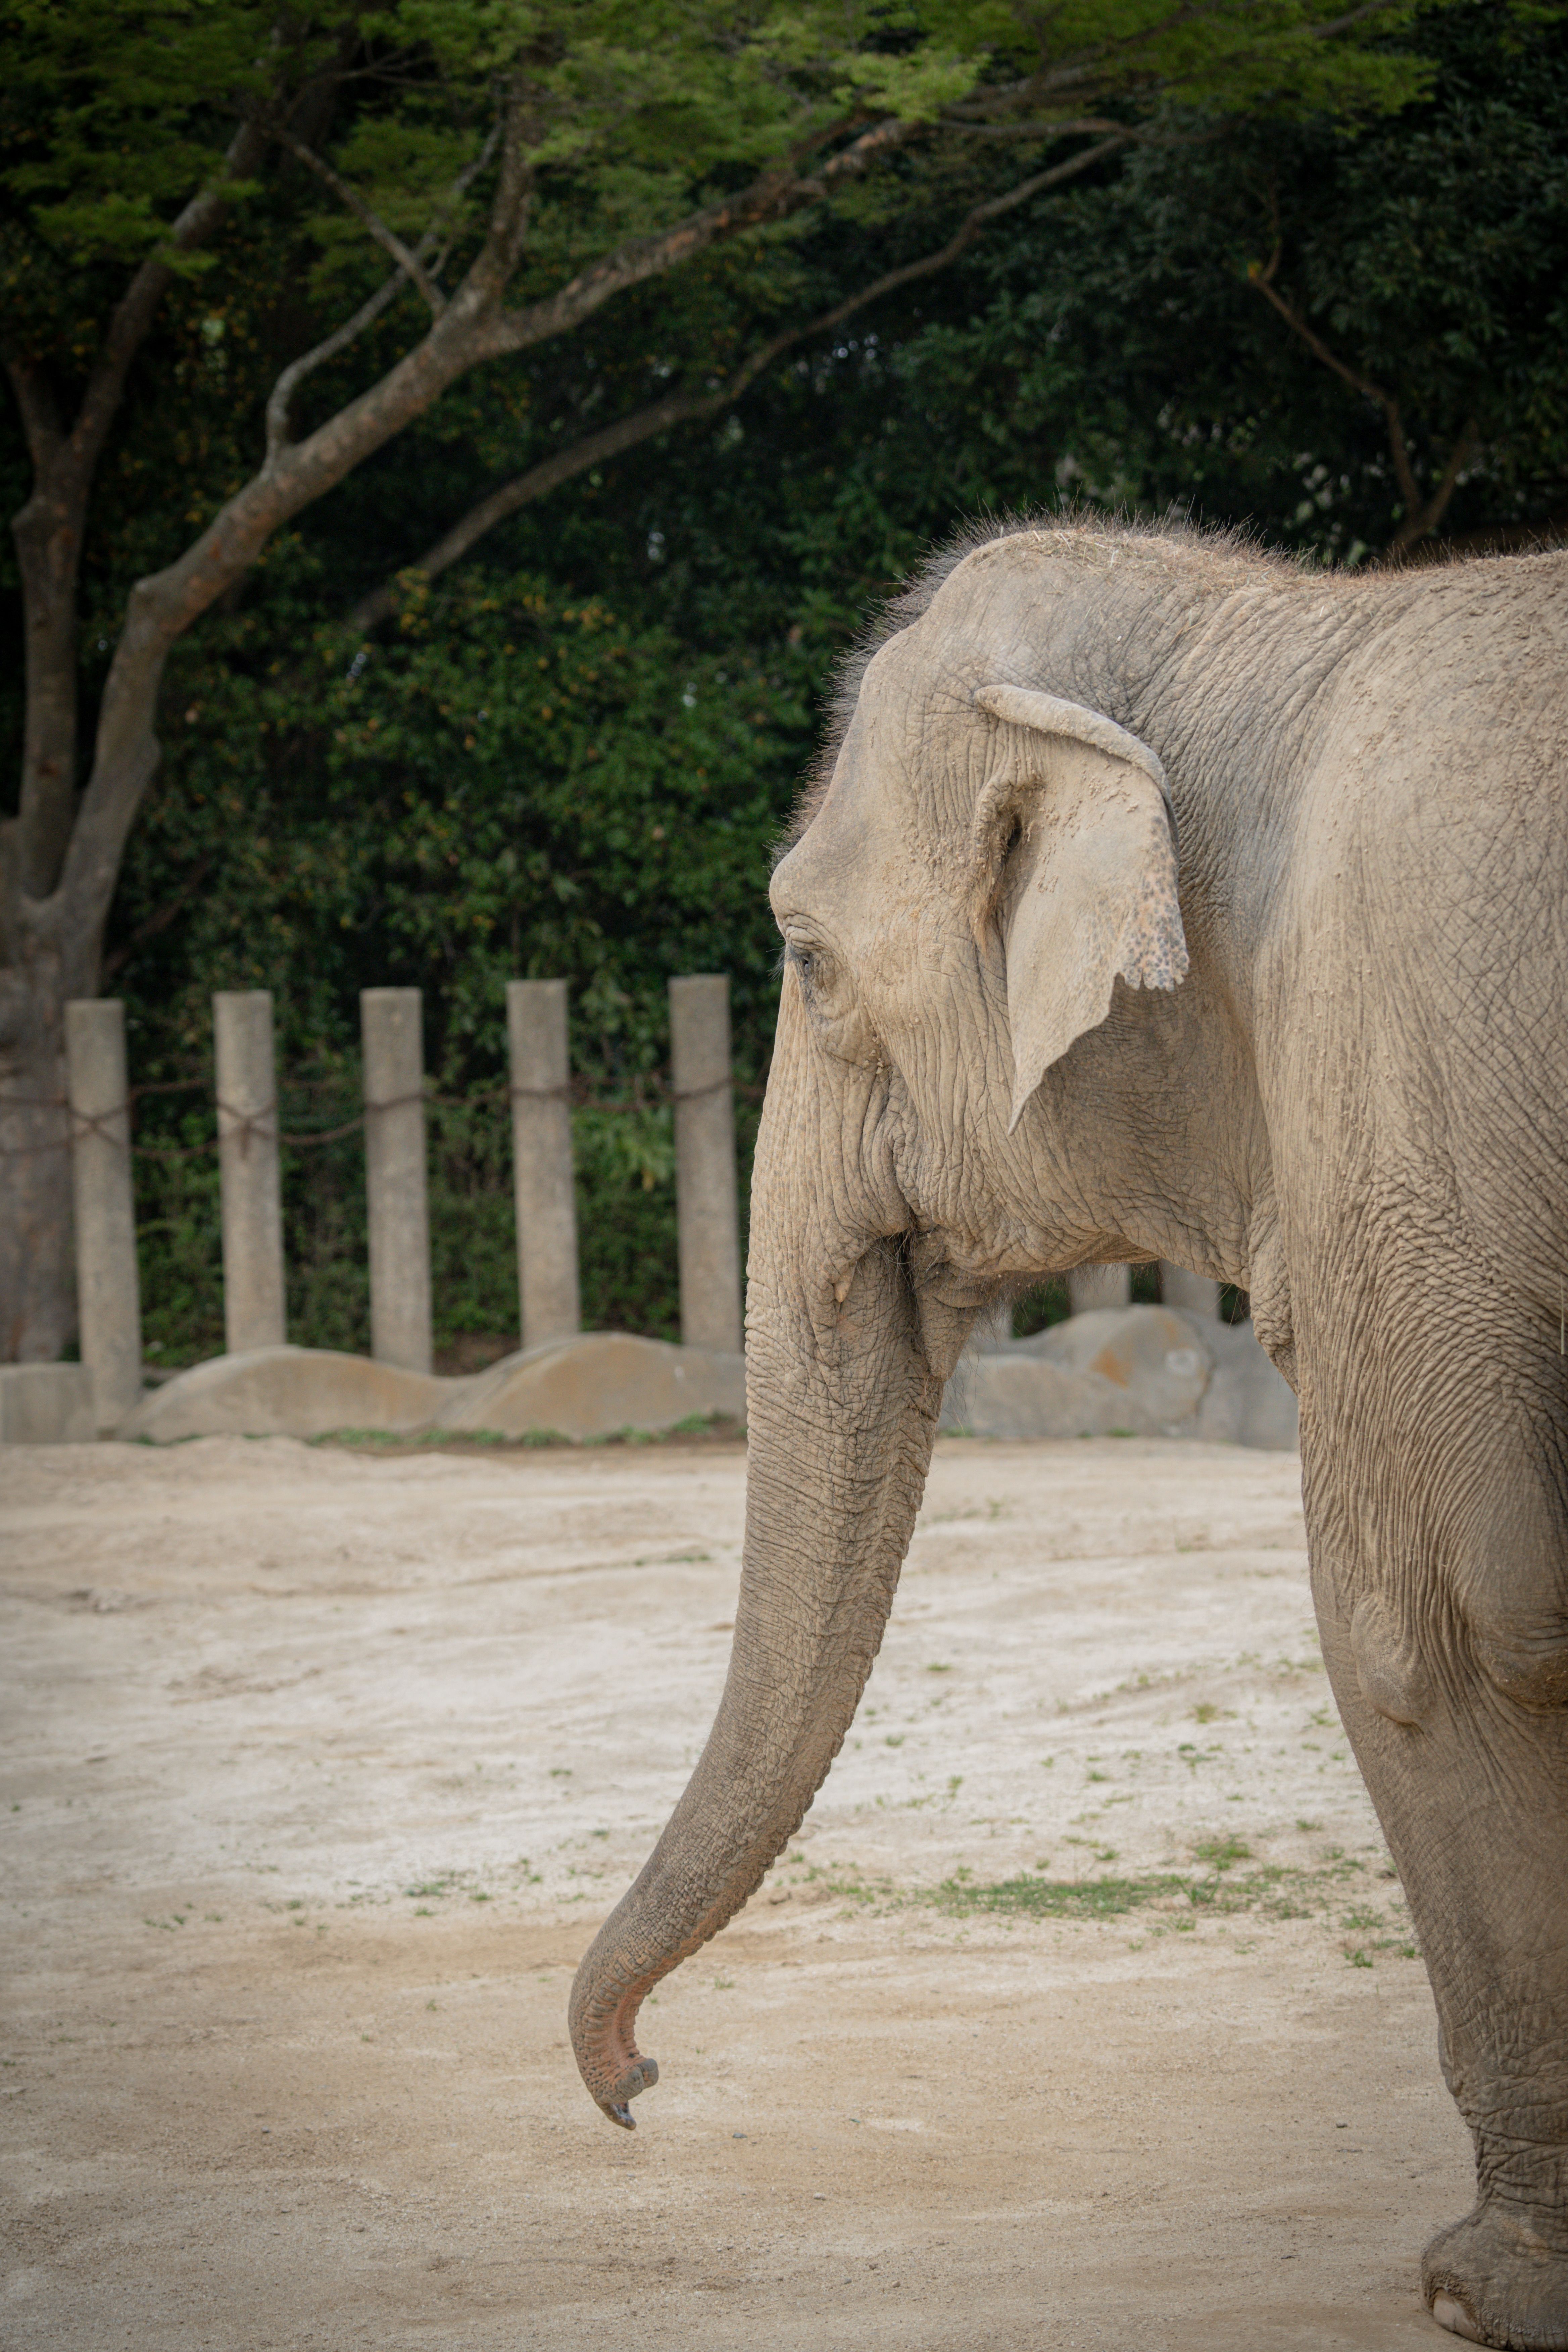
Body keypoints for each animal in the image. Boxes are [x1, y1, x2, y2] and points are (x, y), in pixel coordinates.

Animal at [570, 517, 1568, 2349]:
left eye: (805, 959)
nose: (637, 2085)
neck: (1276, 629)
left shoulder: (1401, 1138)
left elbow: (1438, 1637)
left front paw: (1484, 2293)